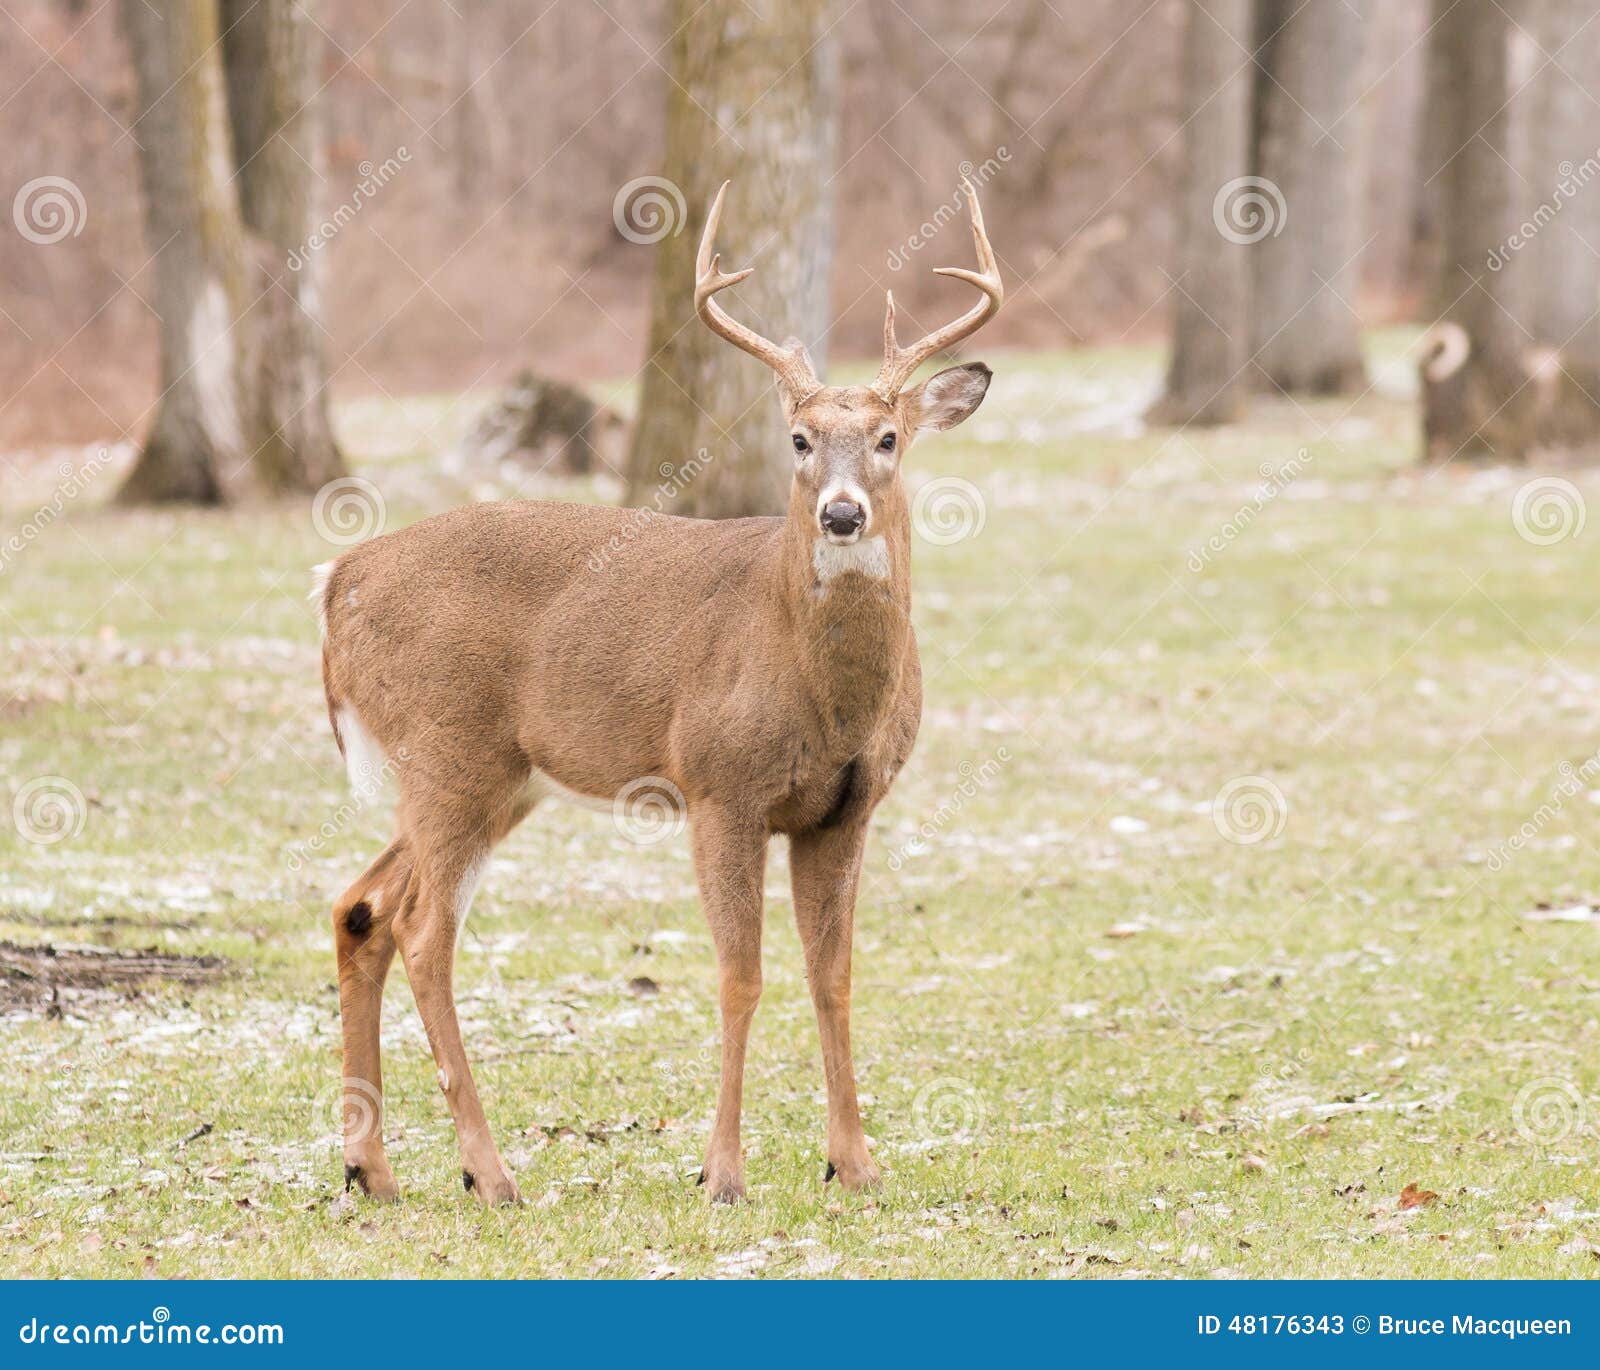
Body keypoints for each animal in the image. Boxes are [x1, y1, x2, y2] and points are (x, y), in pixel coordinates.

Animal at [316, 179, 1002, 1205]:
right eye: (799, 439)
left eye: (889, 438)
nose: (842, 513)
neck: (822, 691)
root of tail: (339, 580)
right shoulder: (720, 785)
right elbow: (739, 977)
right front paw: (722, 1174)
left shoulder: (847, 808)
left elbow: (832, 975)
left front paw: (854, 1164)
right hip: (450, 751)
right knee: (423, 931)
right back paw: (490, 1173)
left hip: (494, 776)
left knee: (360, 909)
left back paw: (373, 1172)